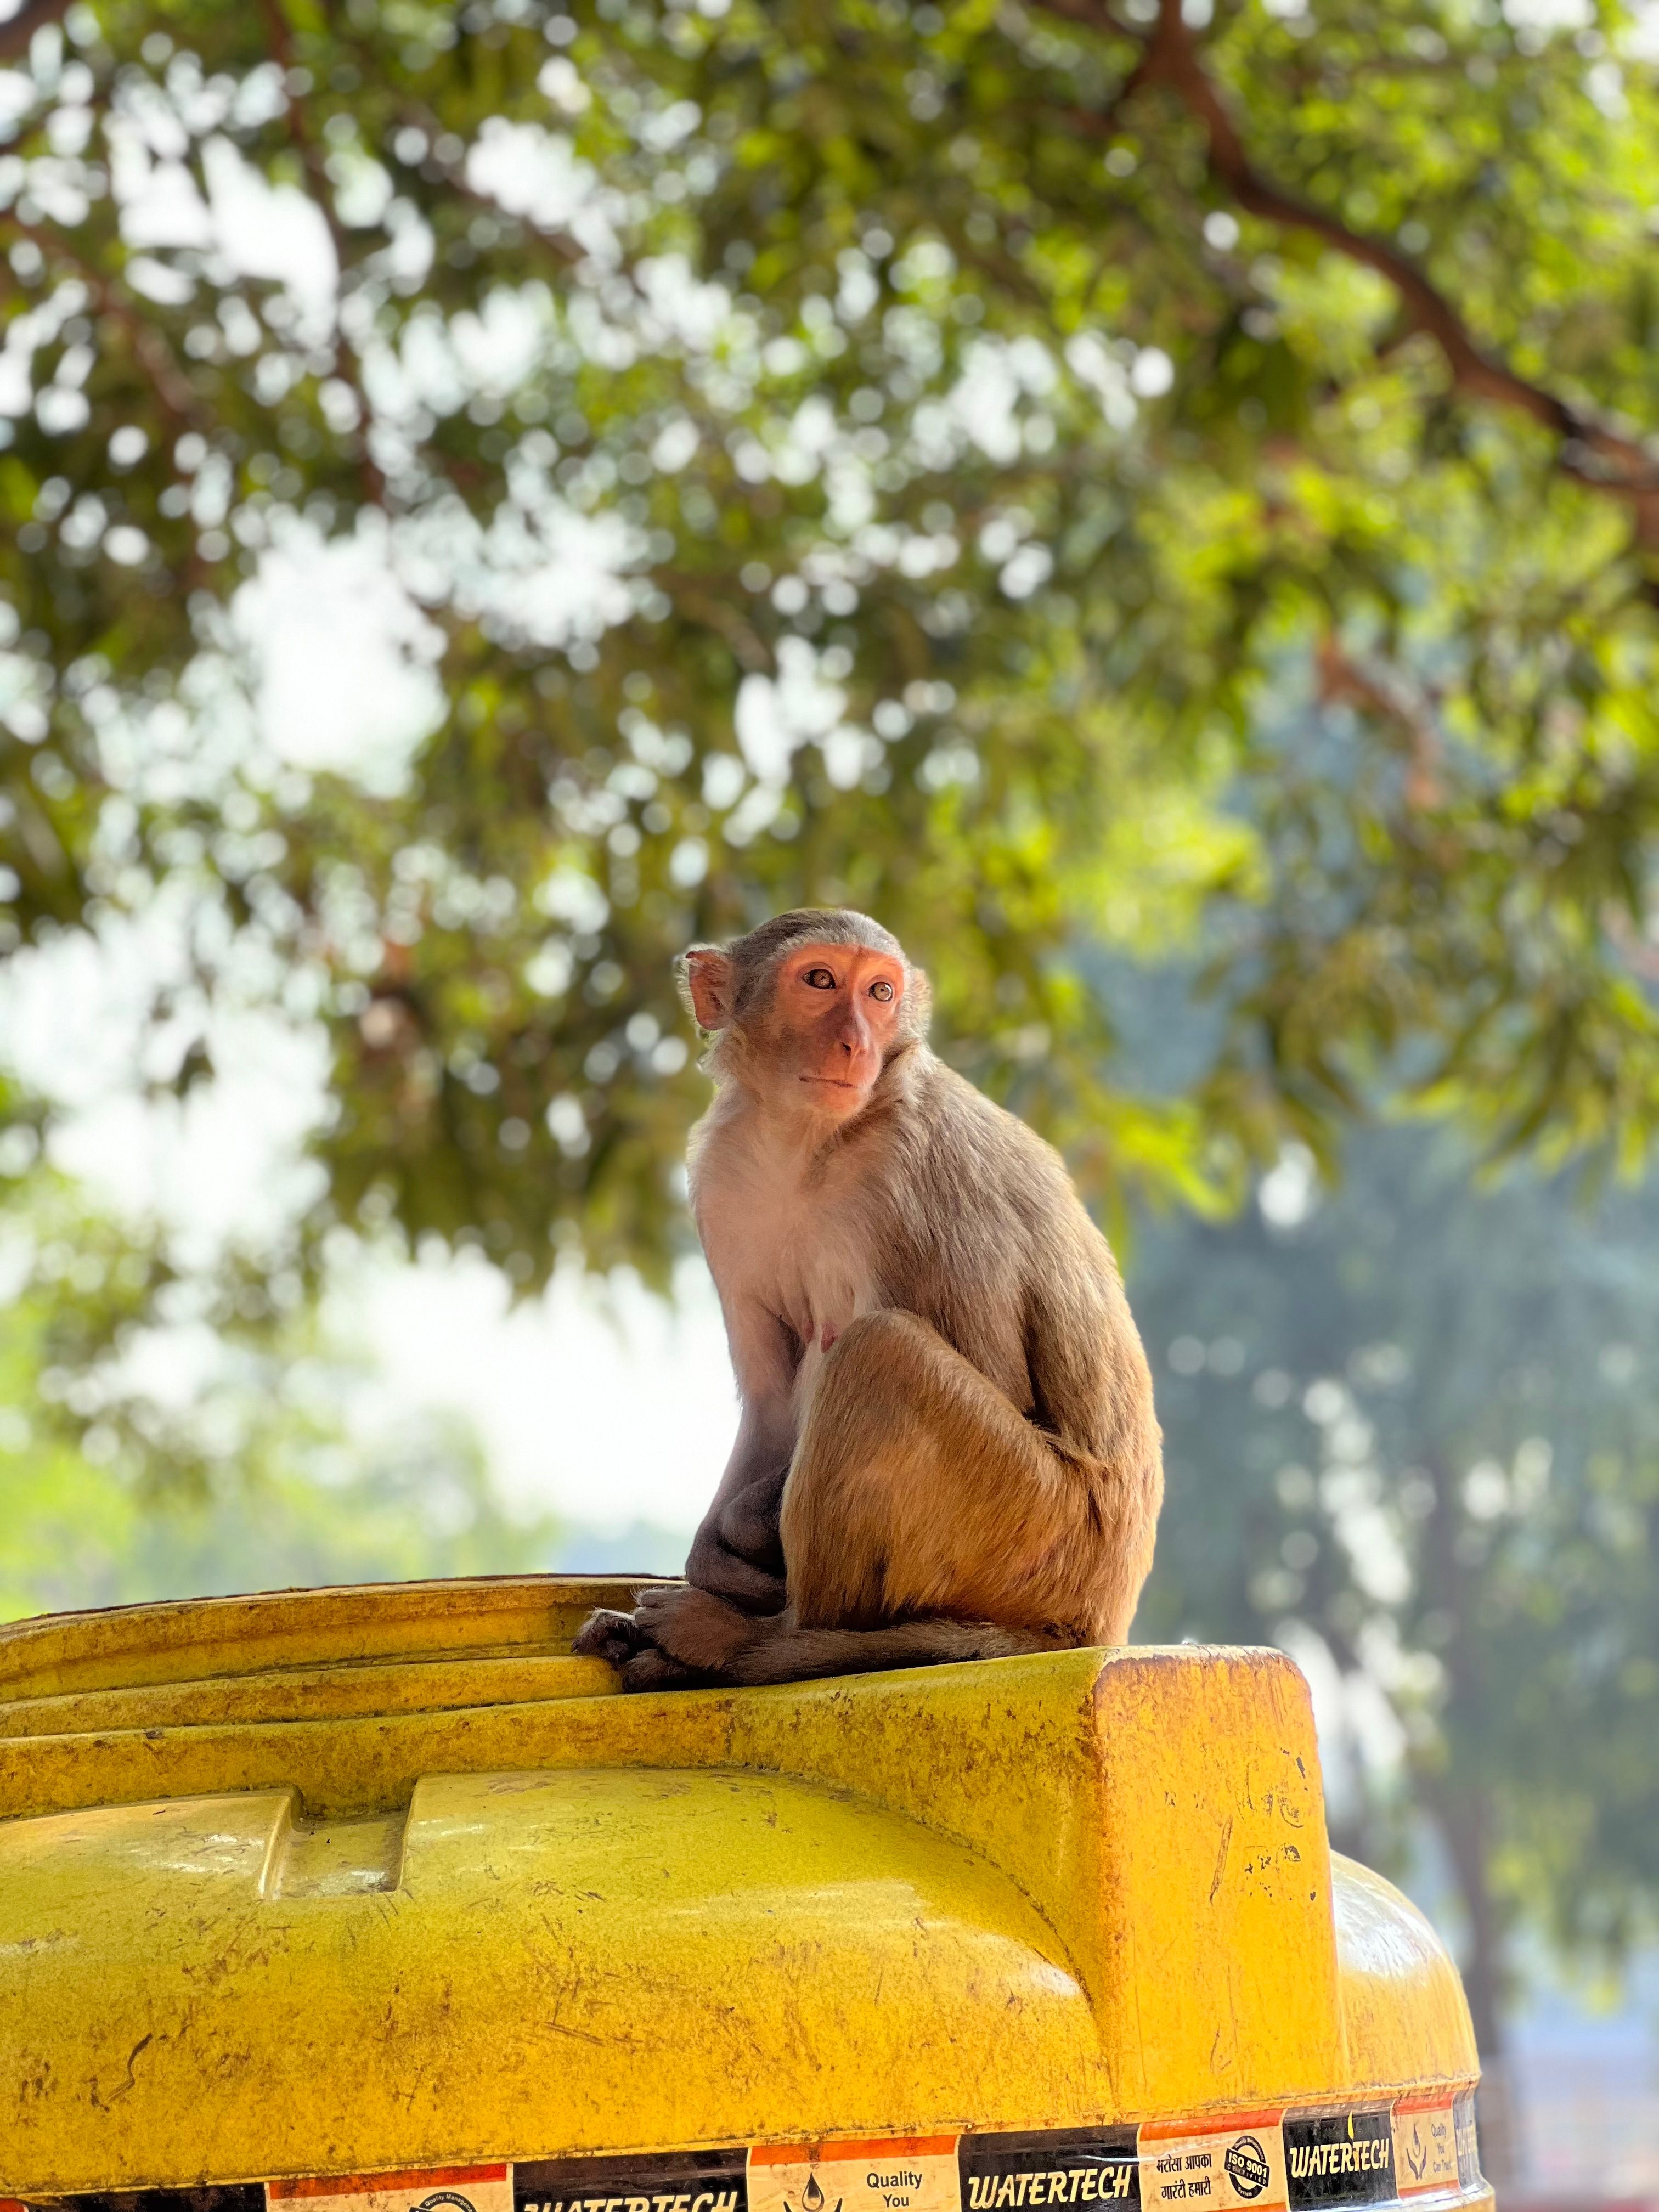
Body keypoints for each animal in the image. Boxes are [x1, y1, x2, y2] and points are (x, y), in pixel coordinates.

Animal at [574, 908, 1162, 1692]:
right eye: (820, 979)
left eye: (880, 992)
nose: (856, 1042)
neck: (809, 1140)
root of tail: (1099, 1619)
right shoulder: (723, 1177)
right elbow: (769, 1401)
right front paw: (717, 1546)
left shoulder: (916, 1169)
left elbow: (999, 1376)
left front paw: (733, 1554)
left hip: (1036, 1534)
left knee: (880, 1352)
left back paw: (750, 1640)